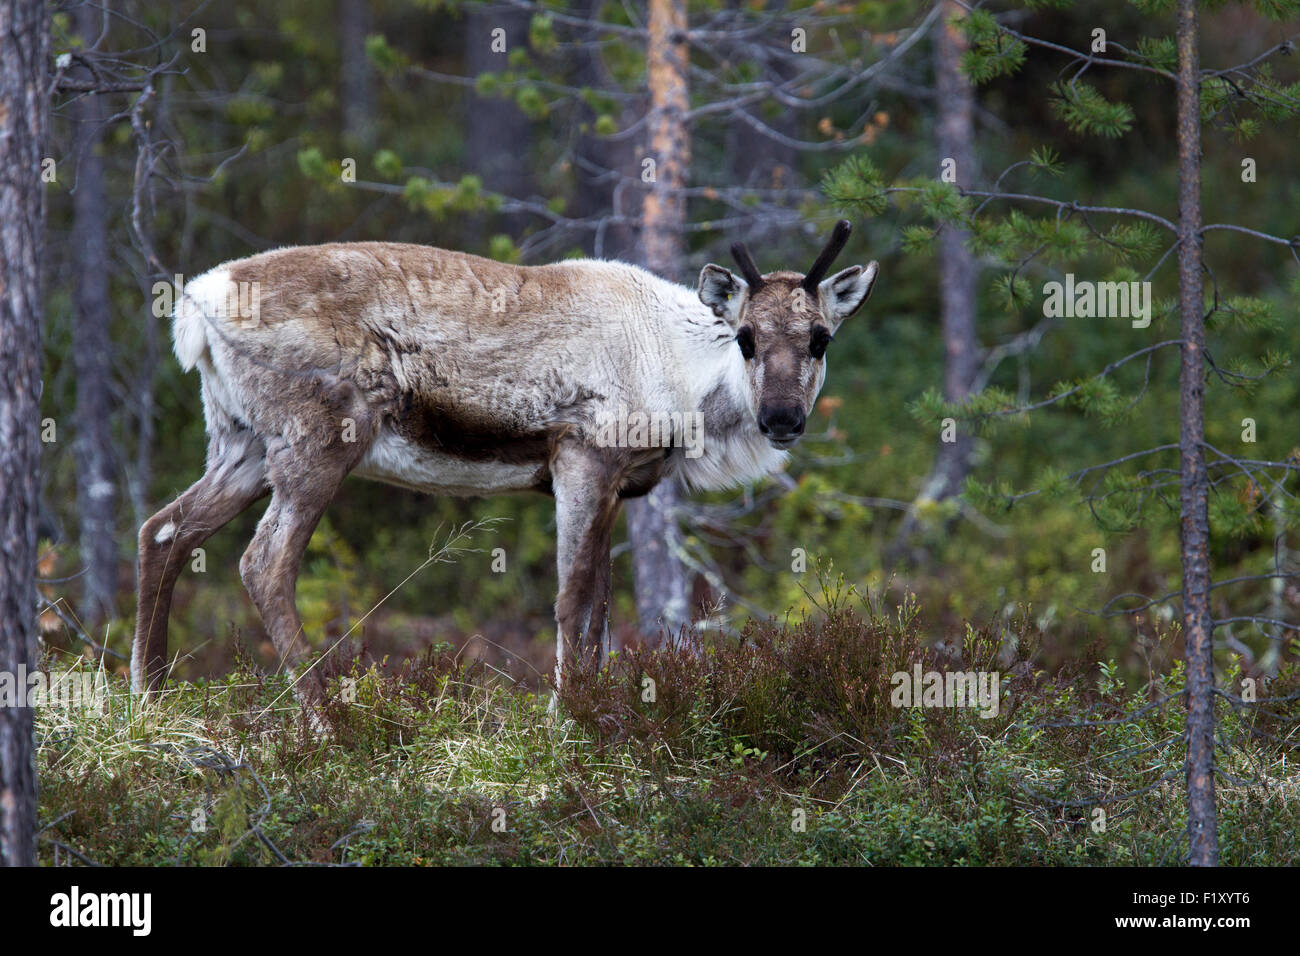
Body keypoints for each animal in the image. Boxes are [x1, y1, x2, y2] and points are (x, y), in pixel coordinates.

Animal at [132, 220, 878, 722]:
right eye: (745, 338)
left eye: (820, 338)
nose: (782, 418)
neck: (684, 383)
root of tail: (195, 306)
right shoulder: (581, 456)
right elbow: (572, 599)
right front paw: (563, 720)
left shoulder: (617, 485)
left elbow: (602, 609)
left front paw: (595, 712)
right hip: (315, 439)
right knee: (263, 563)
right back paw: (325, 725)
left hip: (240, 443)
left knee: (164, 529)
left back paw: (148, 699)